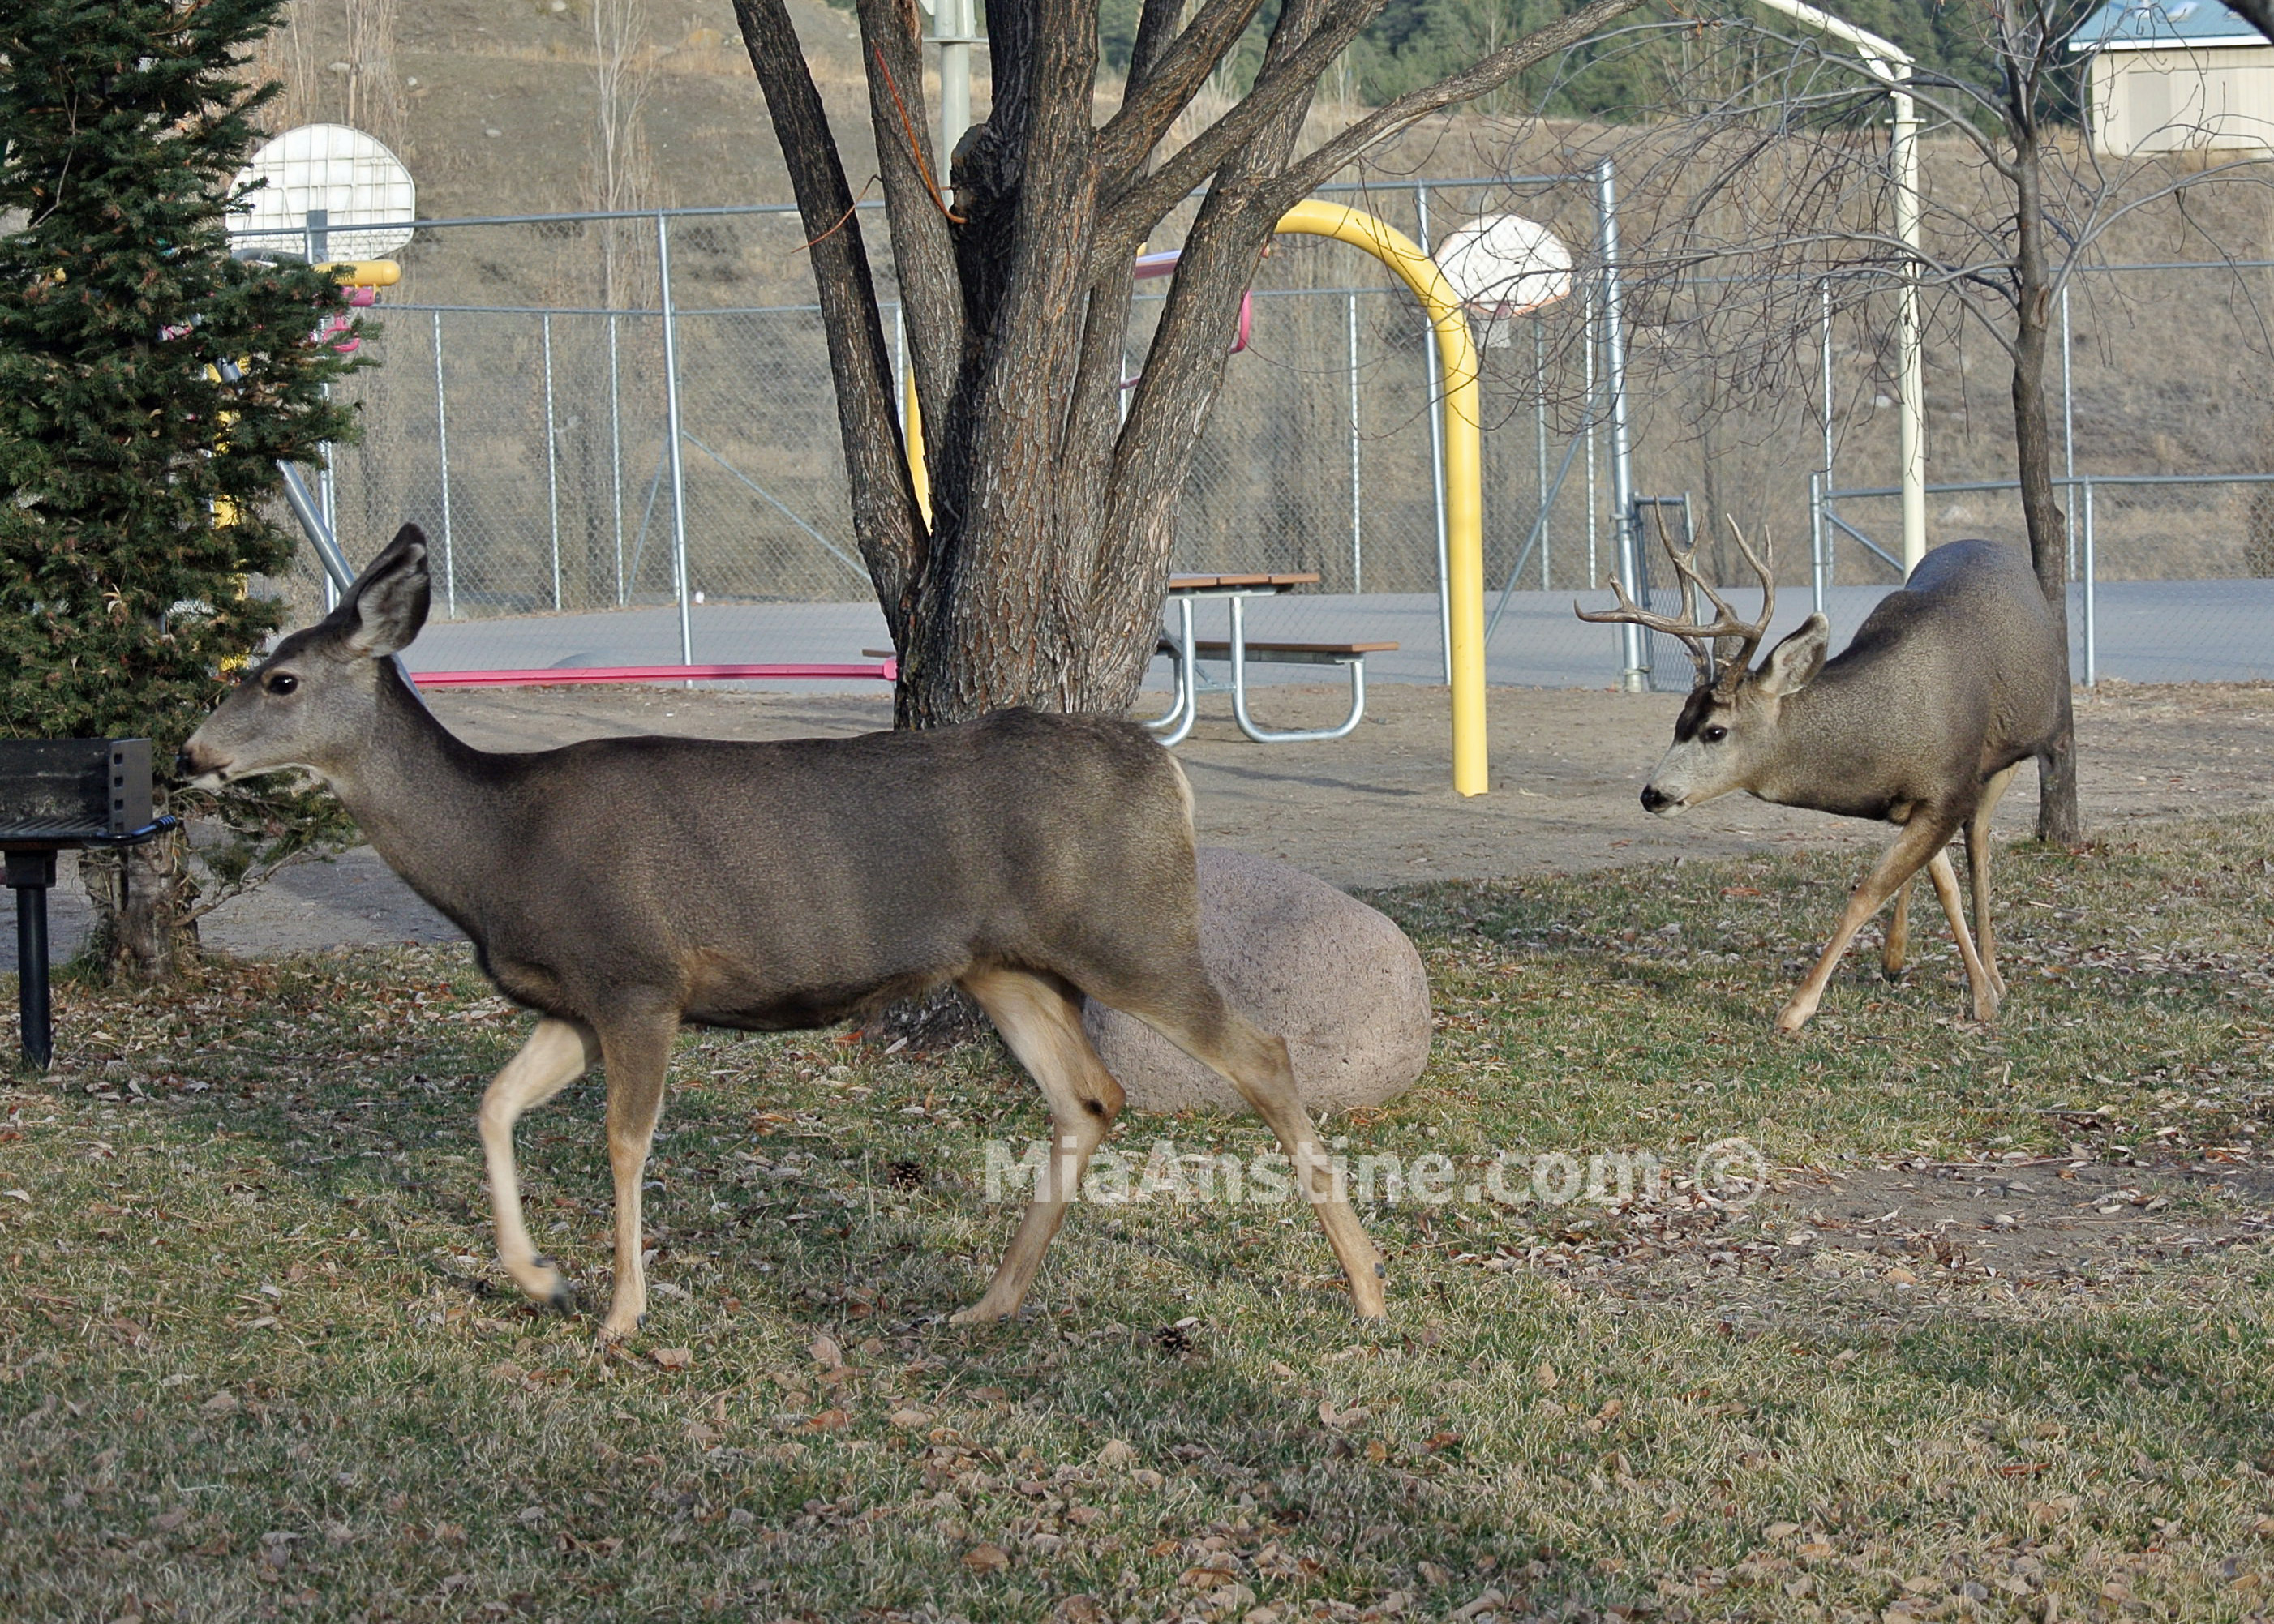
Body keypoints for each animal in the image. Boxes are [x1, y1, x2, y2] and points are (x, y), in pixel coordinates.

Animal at [180, 526, 1387, 1343]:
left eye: (279, 678)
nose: (193, 753)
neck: (498, 851)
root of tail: (1167, 770)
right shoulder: (572, 999)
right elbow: (492, 1105)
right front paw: (540, 1276)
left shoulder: (638, 975)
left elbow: (624, 1141)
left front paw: (620, 1310)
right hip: (1007, 966)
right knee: (1091, 1094)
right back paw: (986, 1302)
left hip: (1130, 926)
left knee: (1262, 1055)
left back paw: (1369, 1290)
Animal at [1576, 523, 2066, 1033]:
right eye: (1677, 722)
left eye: (1715, 730)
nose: (1652, 794)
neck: (1891, 730)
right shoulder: (1918, 799)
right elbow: (1939, 884)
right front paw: (1971, 988)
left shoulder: (1954, 788)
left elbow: (1870, 894)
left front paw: (1797, 1008)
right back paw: (1898, 958)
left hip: (2018, 749)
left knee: (1980, 841)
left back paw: (1993, 970)